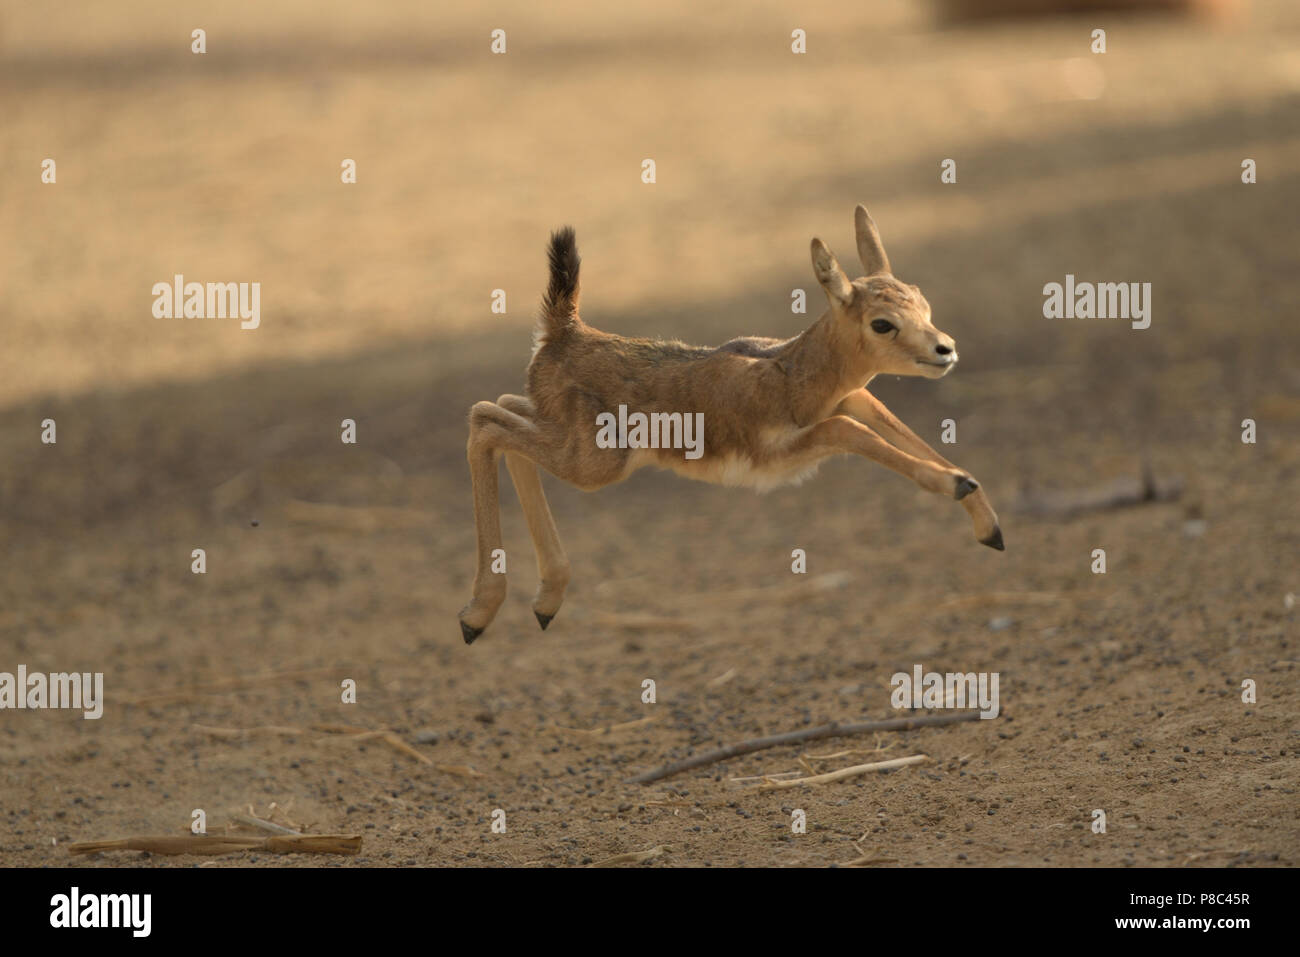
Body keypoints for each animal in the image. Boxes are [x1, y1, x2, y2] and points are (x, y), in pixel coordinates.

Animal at [459, 205, 1004, 644]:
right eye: (883, 322)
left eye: (923, 303)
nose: (944, 349)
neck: (788, 375)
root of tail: (565, 330)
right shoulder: (782, 452)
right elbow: (847, 432)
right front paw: (958, 484)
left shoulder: (850, 401)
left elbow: (881, 418)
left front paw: (988, 524)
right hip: (594, 464)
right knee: (484, 421)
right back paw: (477, 617)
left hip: (560, 434)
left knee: (499, 412)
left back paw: (543, 603)